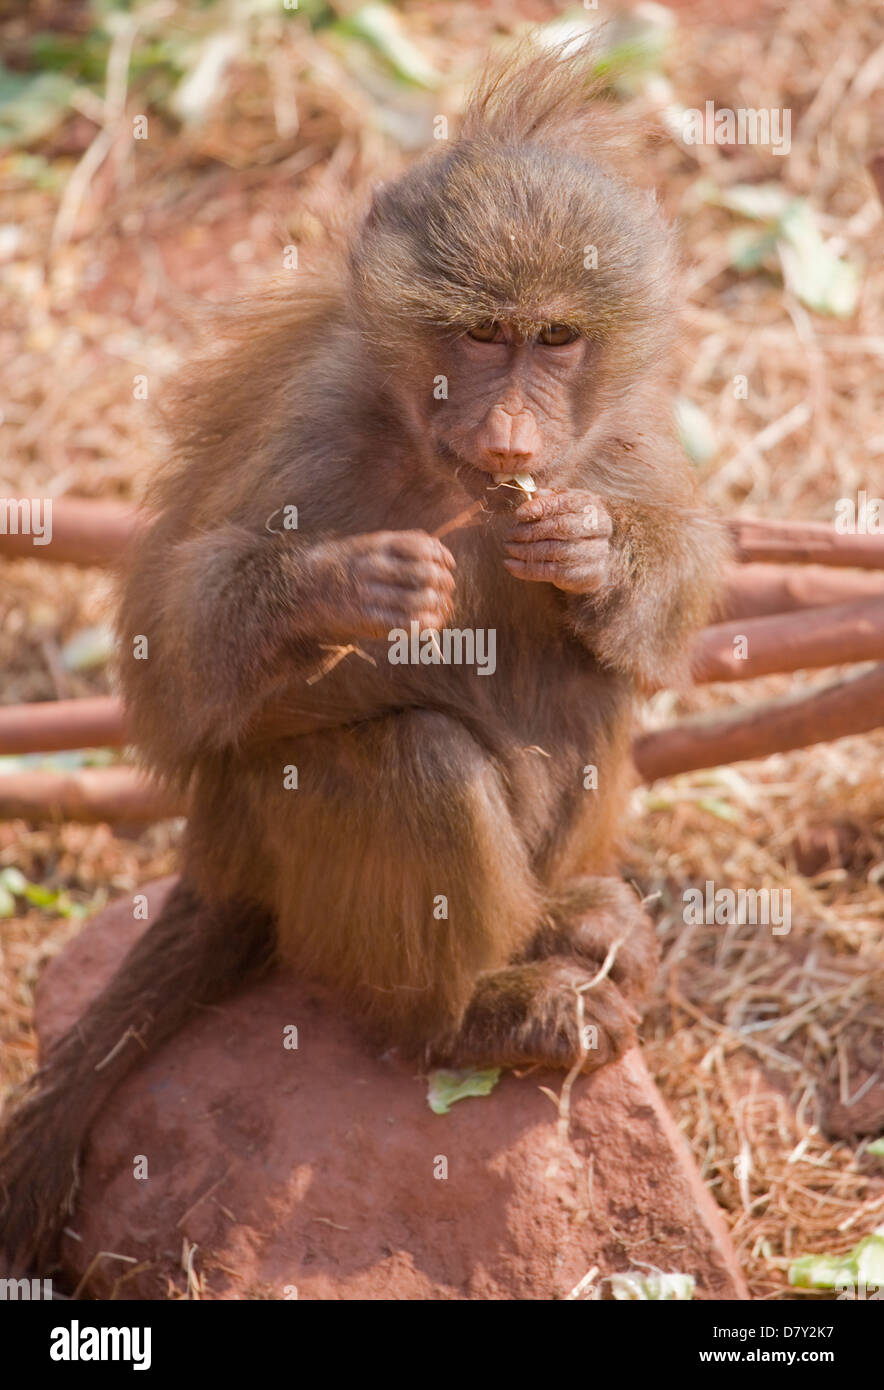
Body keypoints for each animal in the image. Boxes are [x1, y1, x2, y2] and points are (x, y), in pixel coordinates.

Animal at [0, 40, 728, 1275]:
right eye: (480, 336)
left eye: (556, 339)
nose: (513, 435)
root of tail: (217, 864)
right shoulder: (311, 425)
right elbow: (169, 664)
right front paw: (341, 587)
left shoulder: (621, 435)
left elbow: (657, 613)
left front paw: (593, 551)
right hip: (281, 859)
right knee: (417, 761)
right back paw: (465, 1015)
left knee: (589, 676)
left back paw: (559, 926)